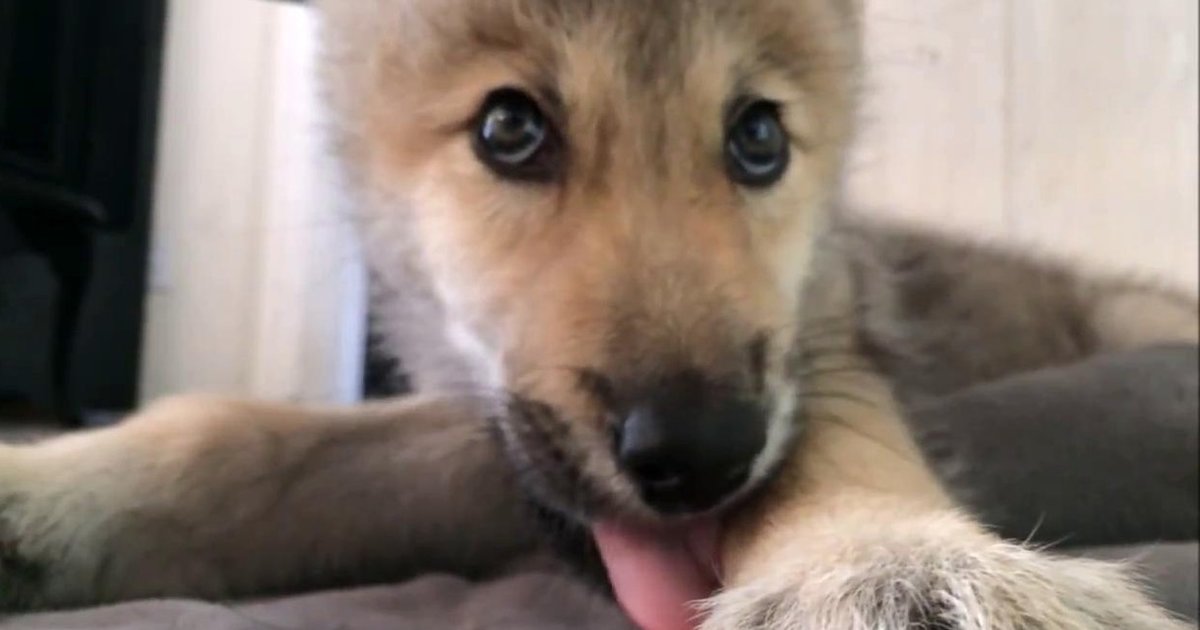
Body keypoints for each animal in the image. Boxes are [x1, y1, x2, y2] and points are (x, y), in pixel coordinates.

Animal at [1, 1, 1196, 628]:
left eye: (759, 138)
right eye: (508, 129)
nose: (703, 454)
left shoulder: (830, 350)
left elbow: (844, 456)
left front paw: (886, 564)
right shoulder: (495, 448)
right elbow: (251, 438)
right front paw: (48, 490)